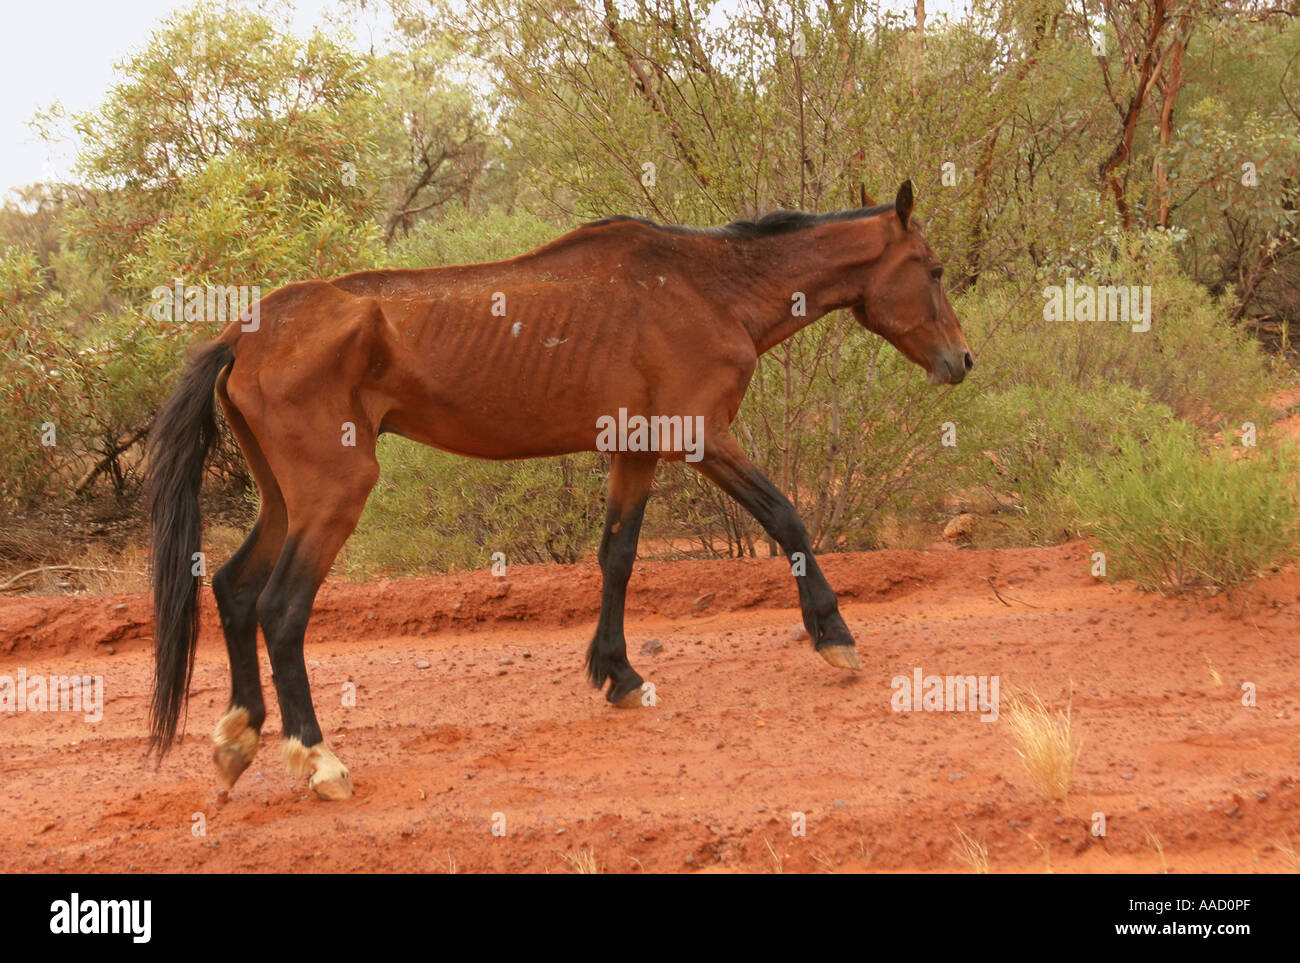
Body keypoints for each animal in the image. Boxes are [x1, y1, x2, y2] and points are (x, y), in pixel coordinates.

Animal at [147, 180, 973, 800]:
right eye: (932, 268)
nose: (961, 359)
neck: (708, 287)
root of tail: (245, 333)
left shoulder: (636, 451)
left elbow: (618, 557)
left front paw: (619, 674)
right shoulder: (702, 436)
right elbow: (788, 518)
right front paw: (834, 635)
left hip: (284, 500)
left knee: (234, 590)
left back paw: (237, 740)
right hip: (330, 497)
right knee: (281, 609)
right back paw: (318, 760)